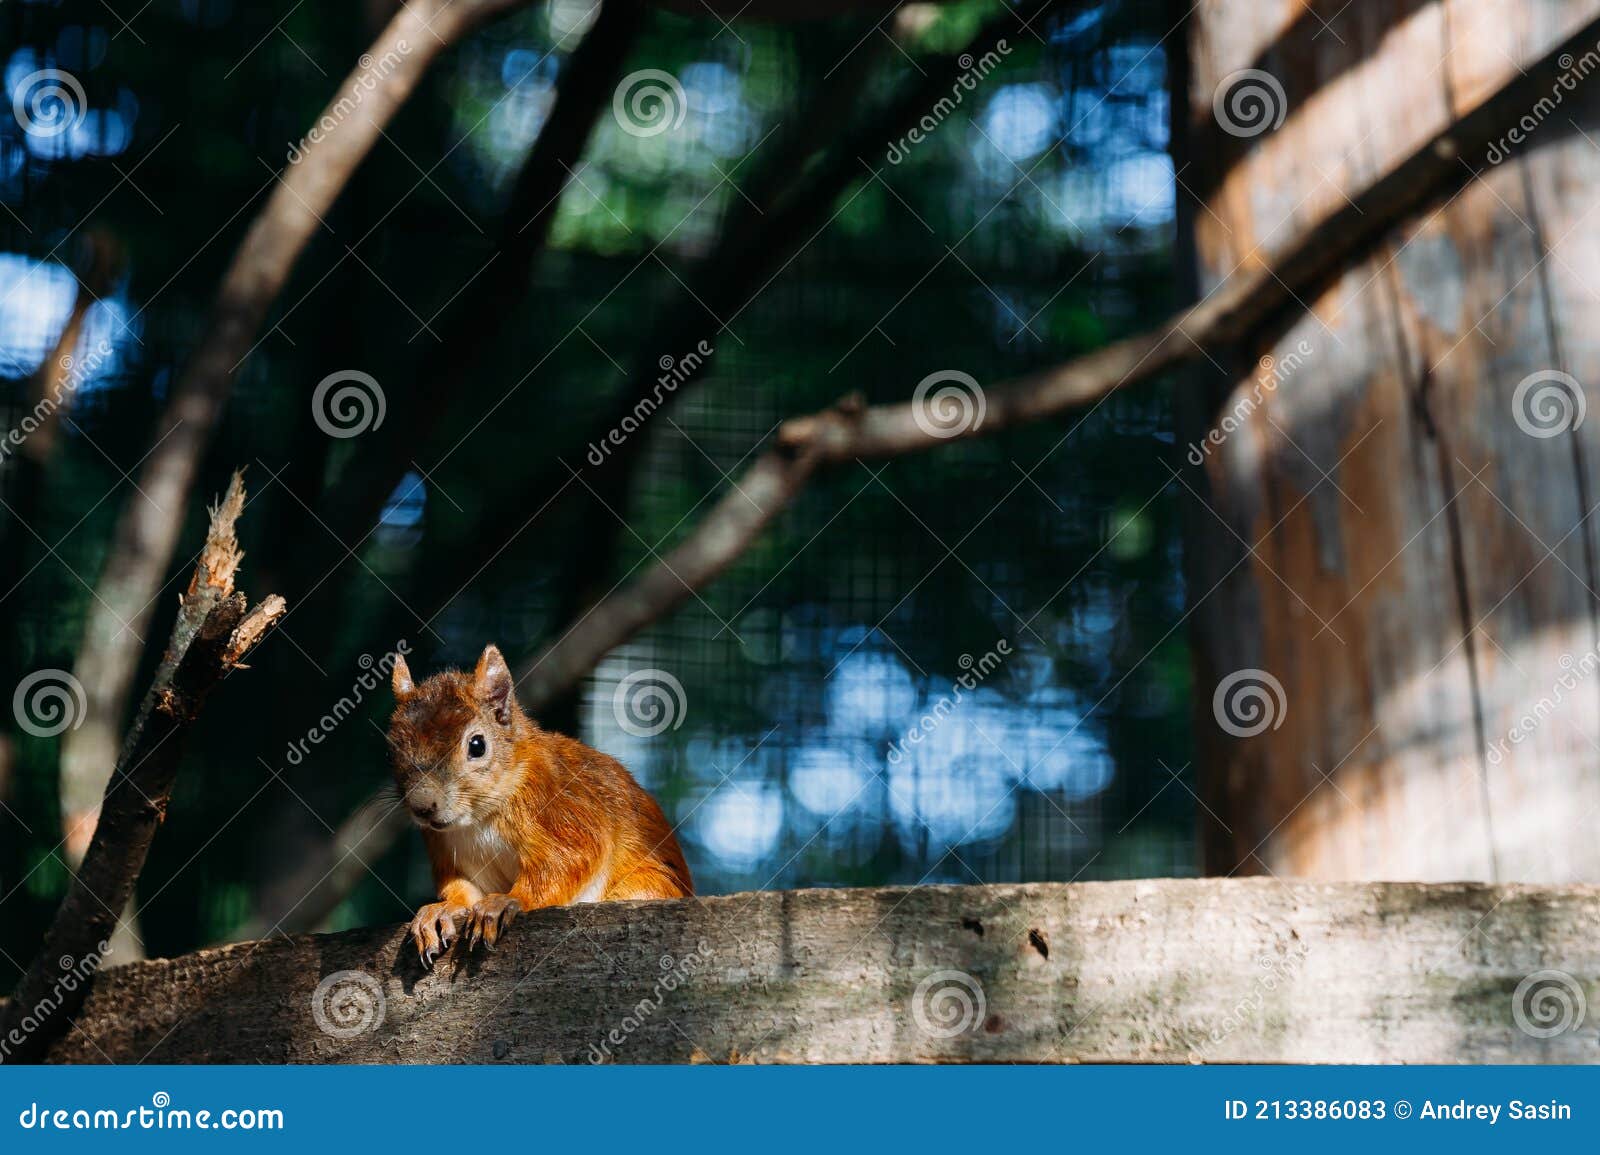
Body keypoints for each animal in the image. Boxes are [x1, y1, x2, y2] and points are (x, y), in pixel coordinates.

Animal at [387, 644, 692, 966]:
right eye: (391, 750)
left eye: (477, 745)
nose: (422, 806)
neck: (479, 818)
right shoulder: (448, 850)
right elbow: (461, 887)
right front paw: (442, 909)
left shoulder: (563, 809)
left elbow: (567, 862)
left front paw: (507, 901)